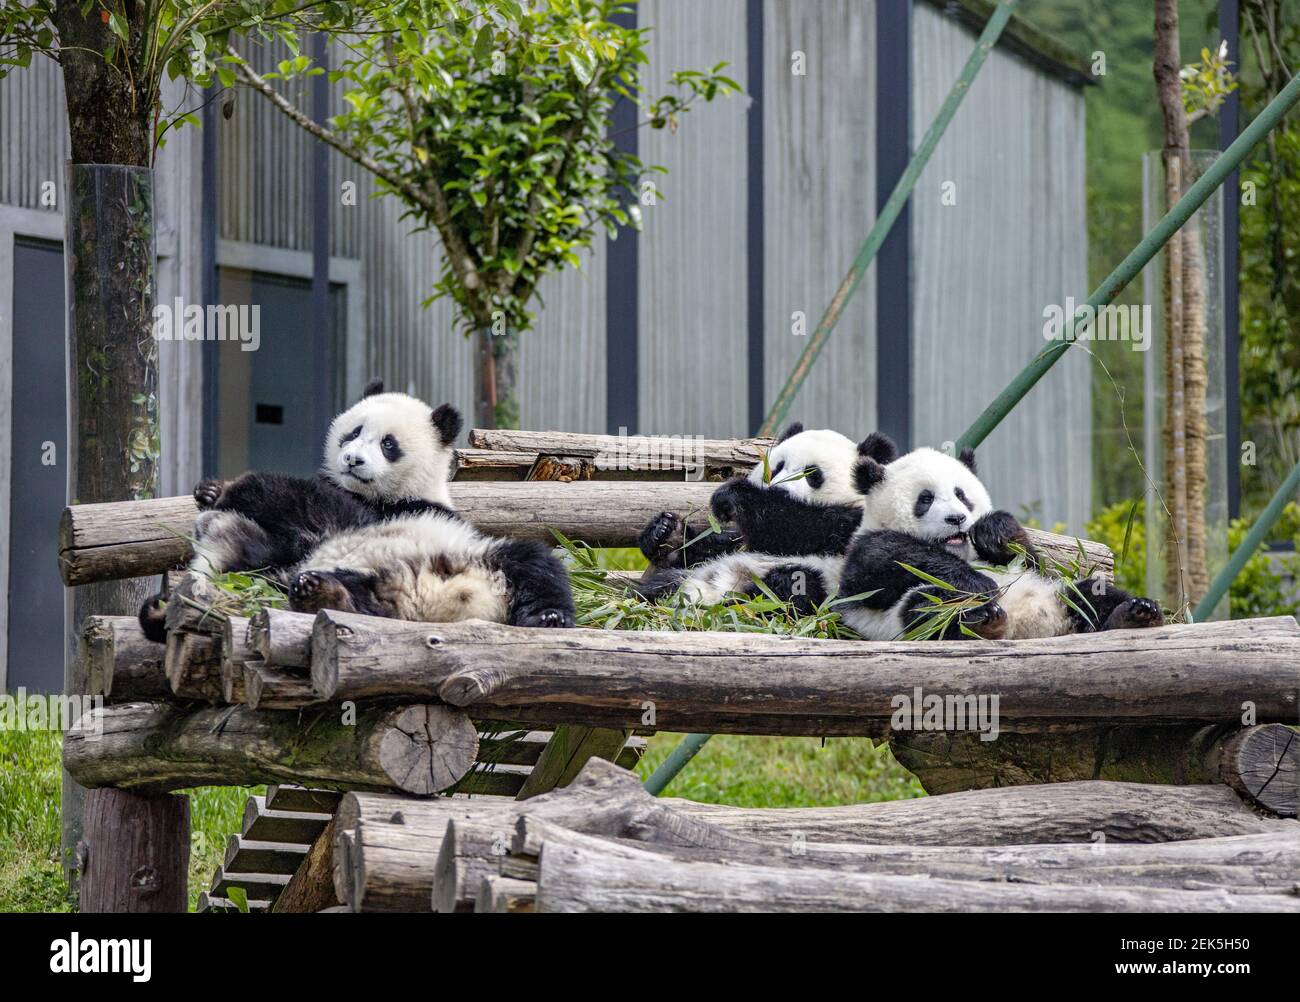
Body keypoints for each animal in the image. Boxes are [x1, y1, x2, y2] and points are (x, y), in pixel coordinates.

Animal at [139, 379, 574, 640]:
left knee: (536, 564)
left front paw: (228, 490)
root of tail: (436, 602)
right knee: (356, 601)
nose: (352, 460)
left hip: (475, 555)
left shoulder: (396, 510)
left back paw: (548, 617)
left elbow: (297, 497)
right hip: (363, 579)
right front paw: (210, 492)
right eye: (353, 431)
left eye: (388, 444)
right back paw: (326, 595)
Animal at [631, 423, 896, 613]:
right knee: (663, 585)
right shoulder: (740, 541)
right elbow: (716, 545)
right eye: (777, 467)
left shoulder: (853, 524)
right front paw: (666, 533)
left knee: (792, 592)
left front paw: (733, 495)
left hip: (819, 580)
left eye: (813, 474)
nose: (780, 489)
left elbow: (800, 528)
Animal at [836, 437, 1165, 641]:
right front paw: (981, 583)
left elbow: (1031, 560)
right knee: (927, 604)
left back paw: (1136, 613)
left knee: (1091, 593)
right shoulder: (861, 554)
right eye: (925, 499)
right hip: (907, 617)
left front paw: (993, 532)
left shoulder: (1025, 567)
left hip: (1056, 592)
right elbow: (884, 560)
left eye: (961, 495)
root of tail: (1032, 626)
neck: (962, 552)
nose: (956, 519)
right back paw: (983, 622)